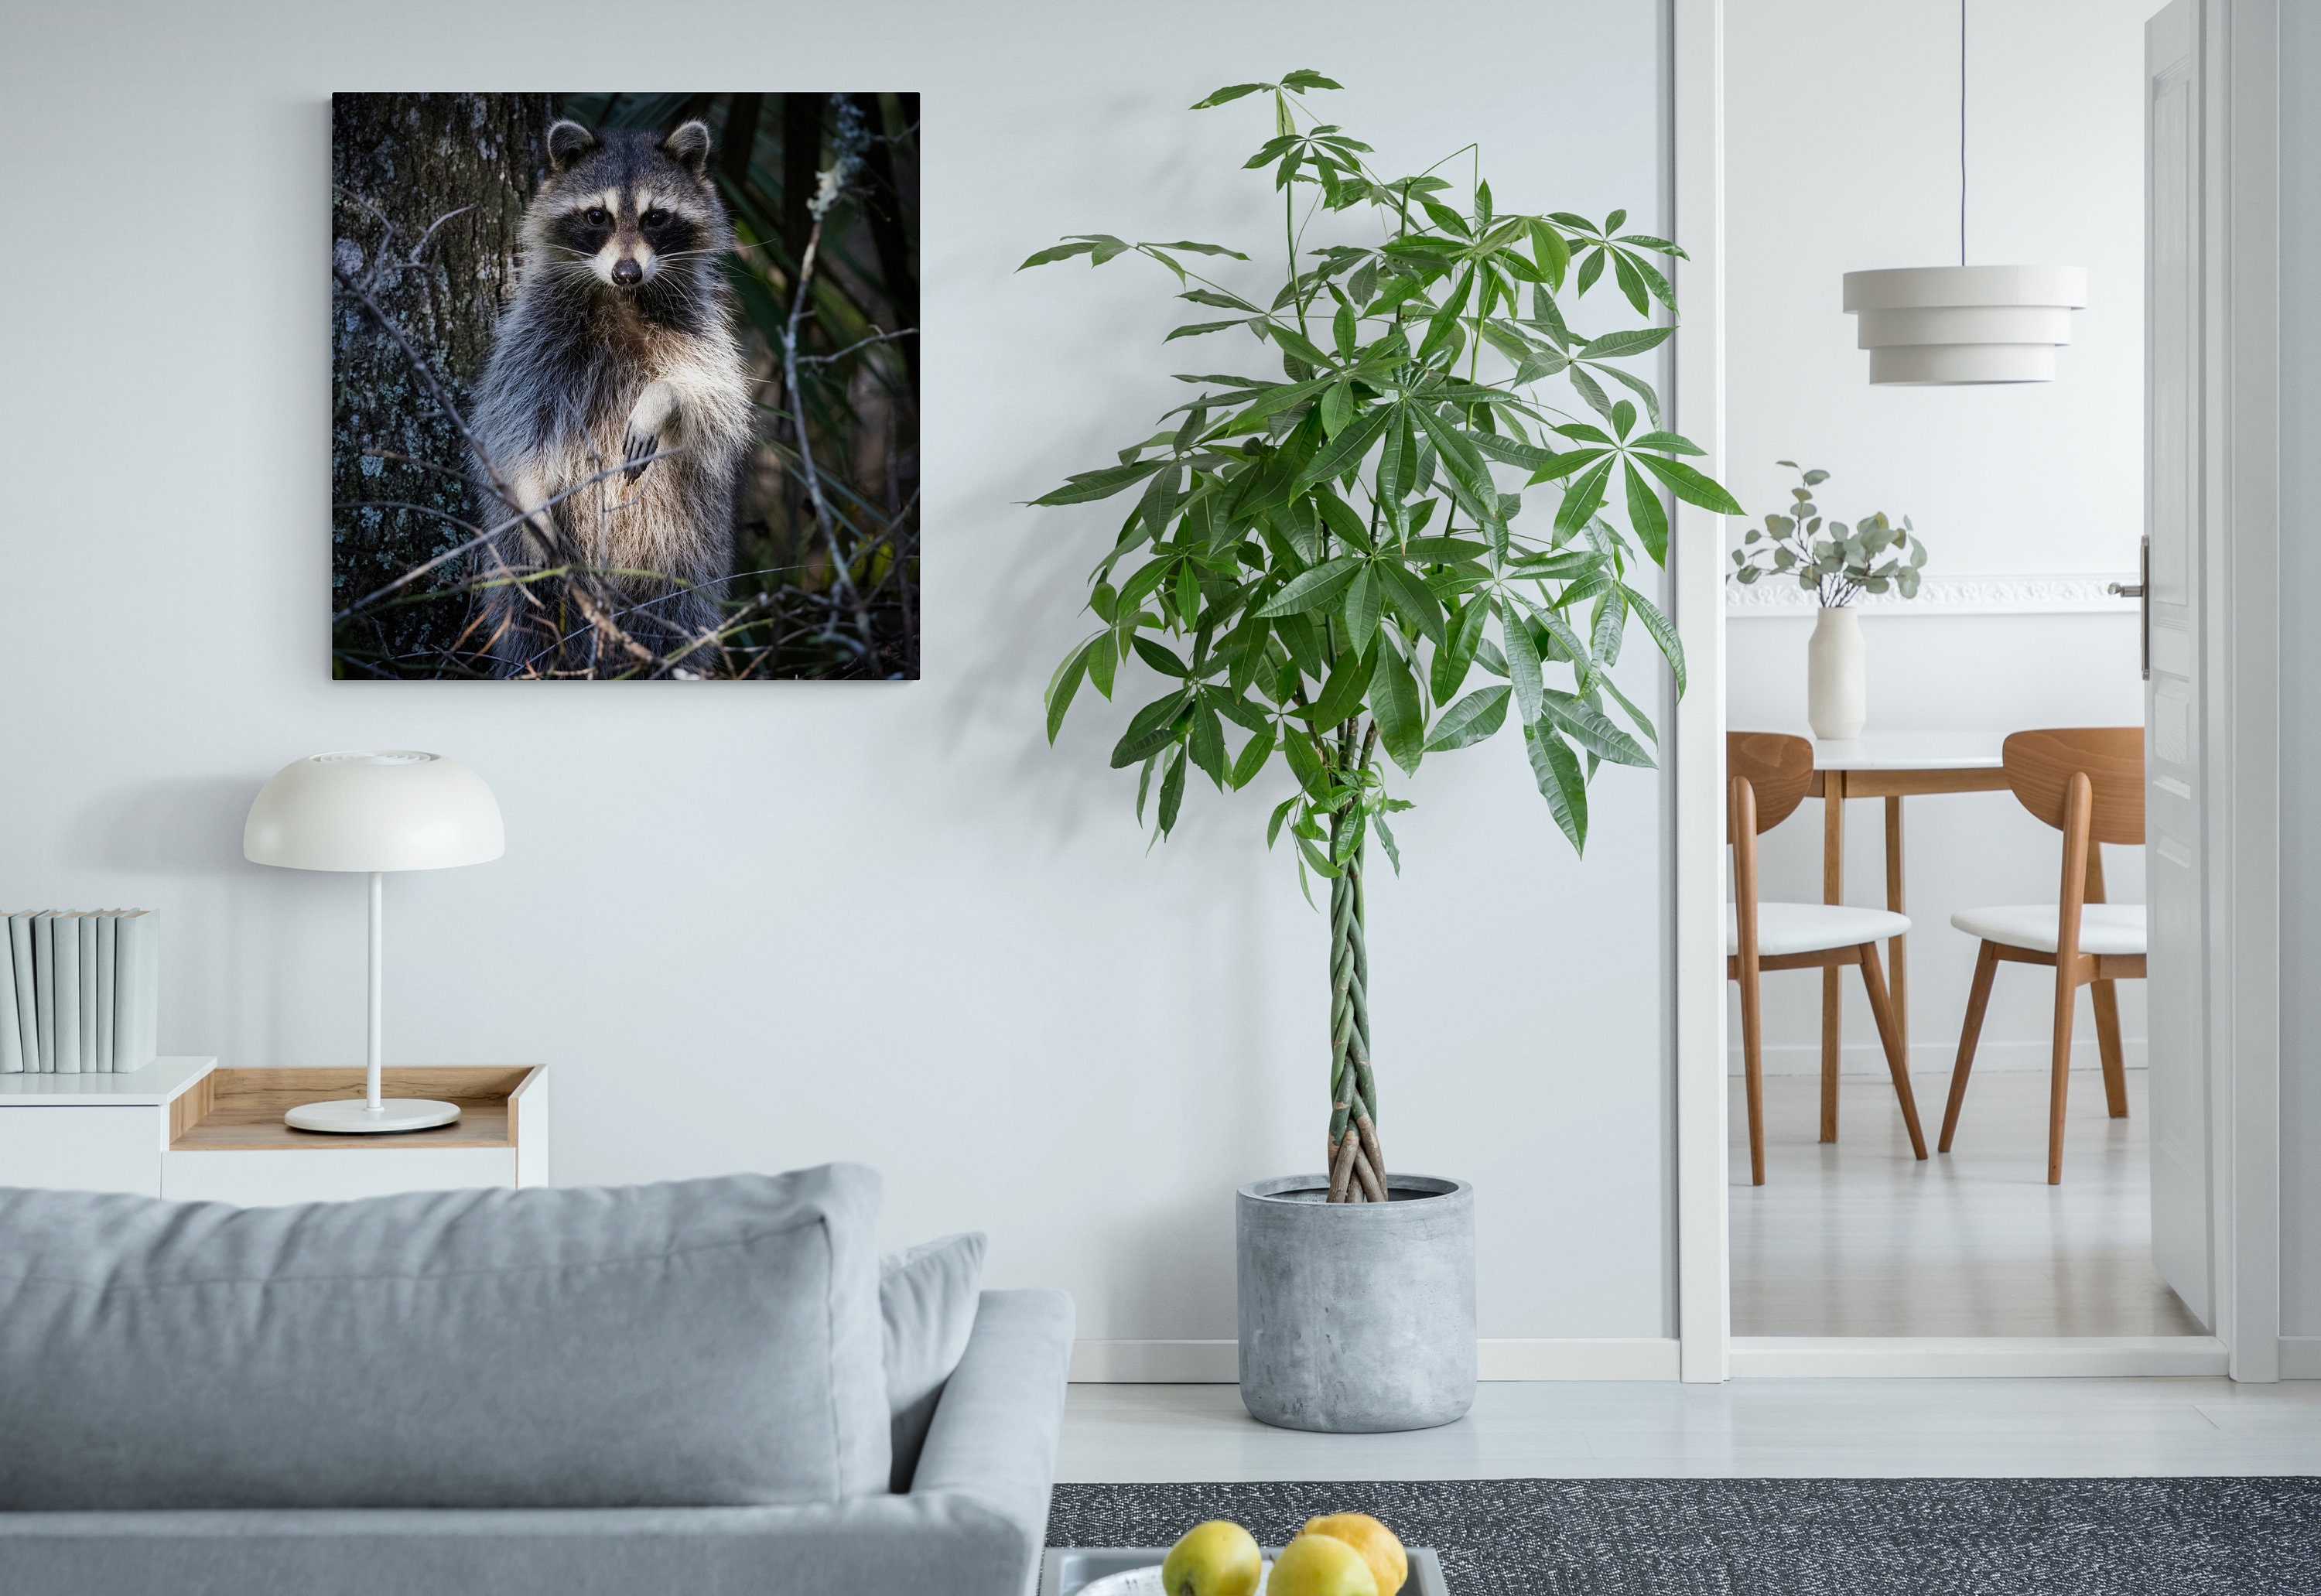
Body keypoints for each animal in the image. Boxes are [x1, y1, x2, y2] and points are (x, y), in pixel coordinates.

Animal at [468, 118, 754, 676]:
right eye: (597, 216)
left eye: (655, 217)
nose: (627, 271)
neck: (620, 296)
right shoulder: (534, 335)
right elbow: (513, 422)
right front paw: (531, 497)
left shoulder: (700, 332)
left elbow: (717, 403)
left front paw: (661, 397)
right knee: (527, 616)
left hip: (683, 551)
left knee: (677, 612)